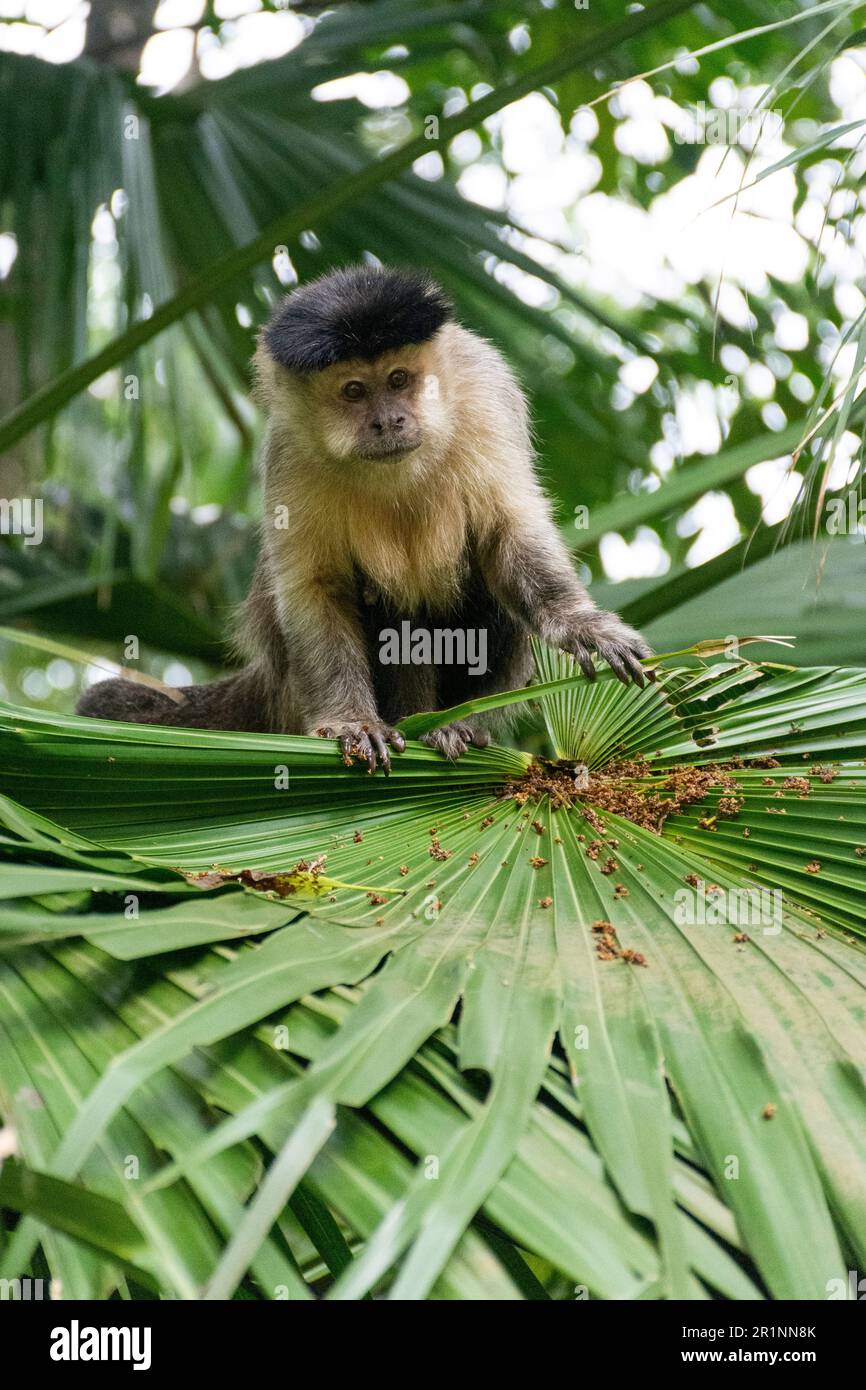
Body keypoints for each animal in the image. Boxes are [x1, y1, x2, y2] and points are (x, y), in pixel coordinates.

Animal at [77, 265, 655, 772]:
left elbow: (506, 535)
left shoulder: (483, 397)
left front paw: (579, 624)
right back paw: (417, 721)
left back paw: (458, 723)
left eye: (398, 380)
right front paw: (352, 721)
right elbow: (318, 587)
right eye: (354, 391)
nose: (388, 420)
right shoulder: (289, 449)